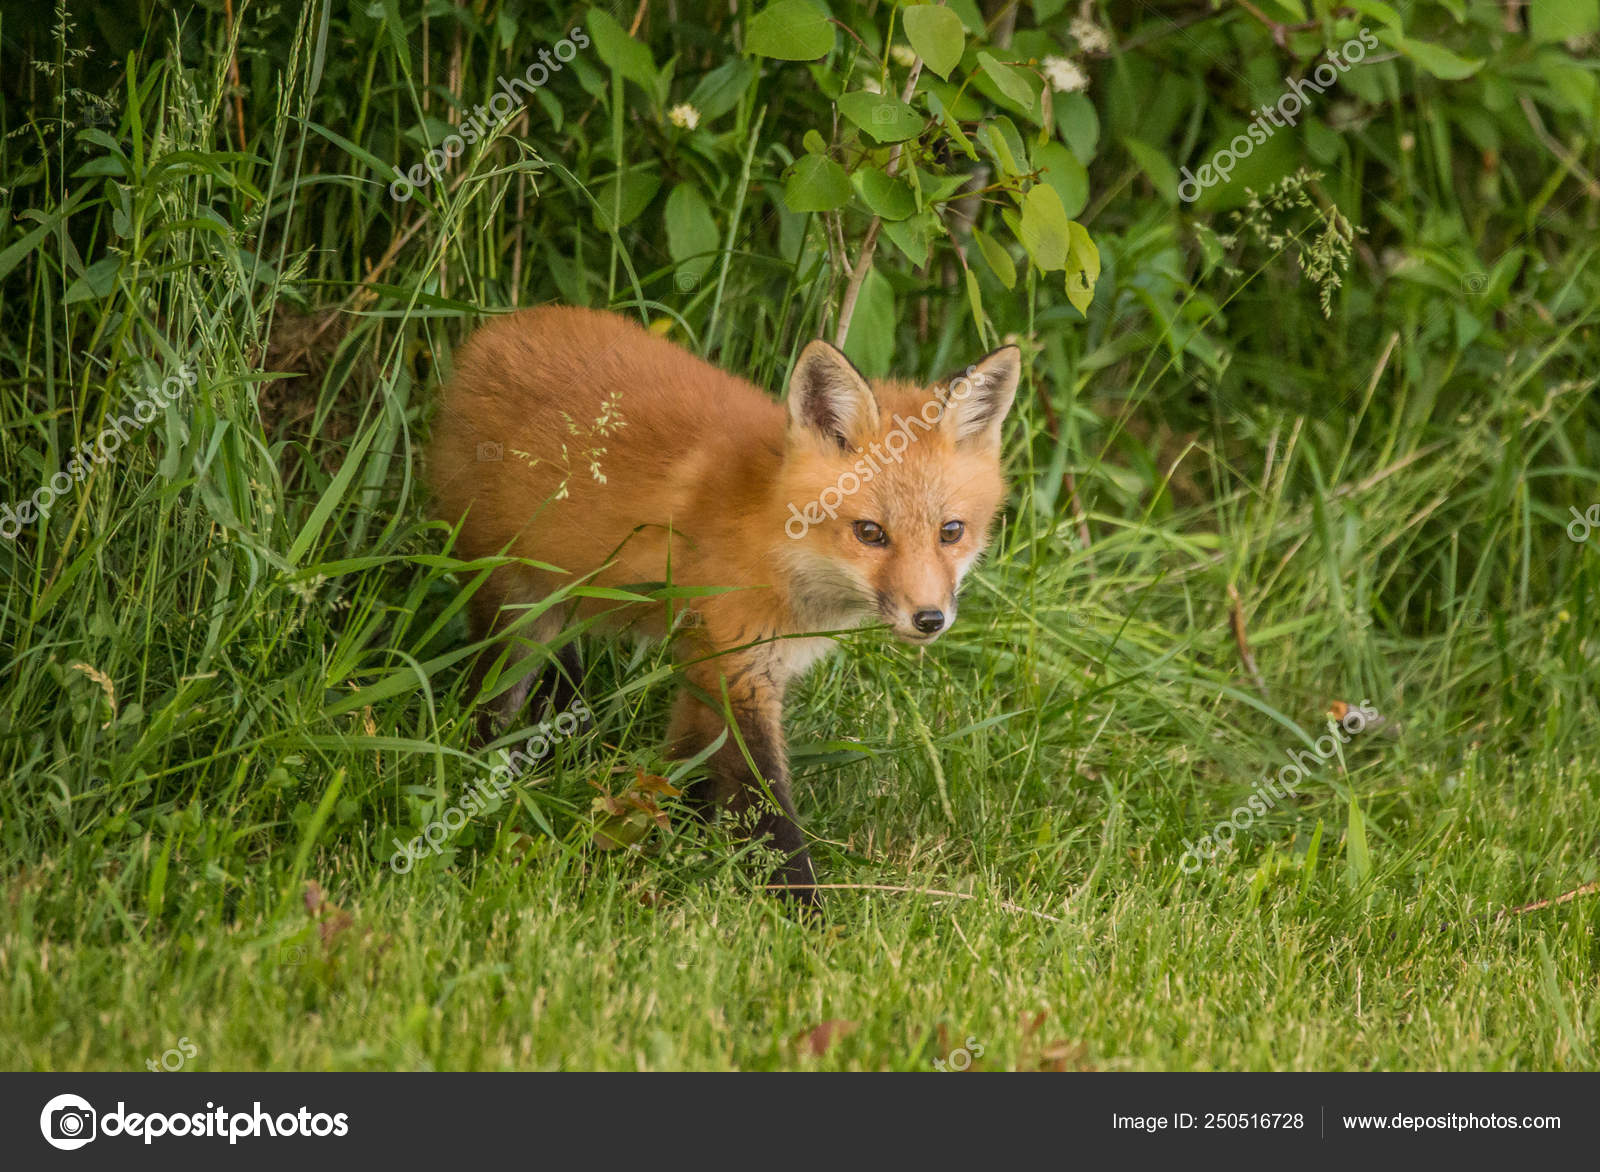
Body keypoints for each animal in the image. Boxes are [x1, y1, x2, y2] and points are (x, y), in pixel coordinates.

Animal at [426, 306, 1019, 909]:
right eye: (870, 533)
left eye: (951, 532)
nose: (930, 619)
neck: (776, 539)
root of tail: (502, 325)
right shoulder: (738, 672)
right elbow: (767, 810)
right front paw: (807, 912)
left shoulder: (711, 661)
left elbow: (685, 768)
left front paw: (673, 845)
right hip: (514, 610)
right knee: (486, 705)